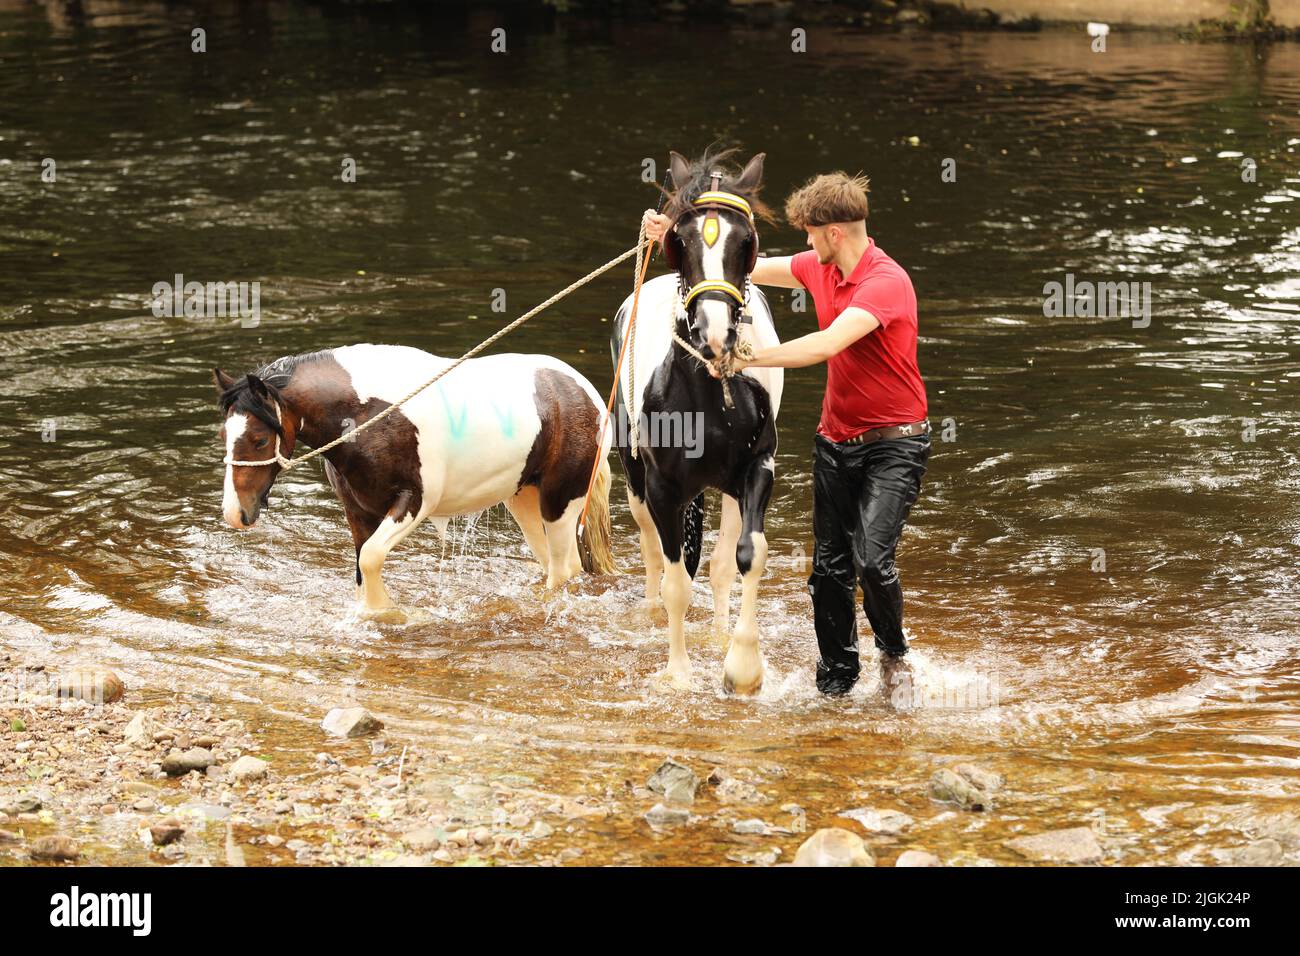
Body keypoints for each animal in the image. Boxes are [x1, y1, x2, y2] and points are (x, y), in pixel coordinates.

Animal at [213, 344, 616, 621]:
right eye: (223, 434)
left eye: (260, 440)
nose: (235, 513)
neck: (369, 414)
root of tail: (586, 393)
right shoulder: (358, 511)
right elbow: (360, 567)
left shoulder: (413, 503)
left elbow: (372, 558)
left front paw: (388, 614)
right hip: (524, 499)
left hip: (559, 503)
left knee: (564, 571)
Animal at [611, 149, 784, 695]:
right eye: (679, 239)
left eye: (746, 241)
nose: (714, 333)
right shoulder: (663, 487)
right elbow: (675, 583)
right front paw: (679, 672)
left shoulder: (756, 468)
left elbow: (747, 556)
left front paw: (742, 665)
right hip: (635, 476)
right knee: (651, 548)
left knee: (722, 563)